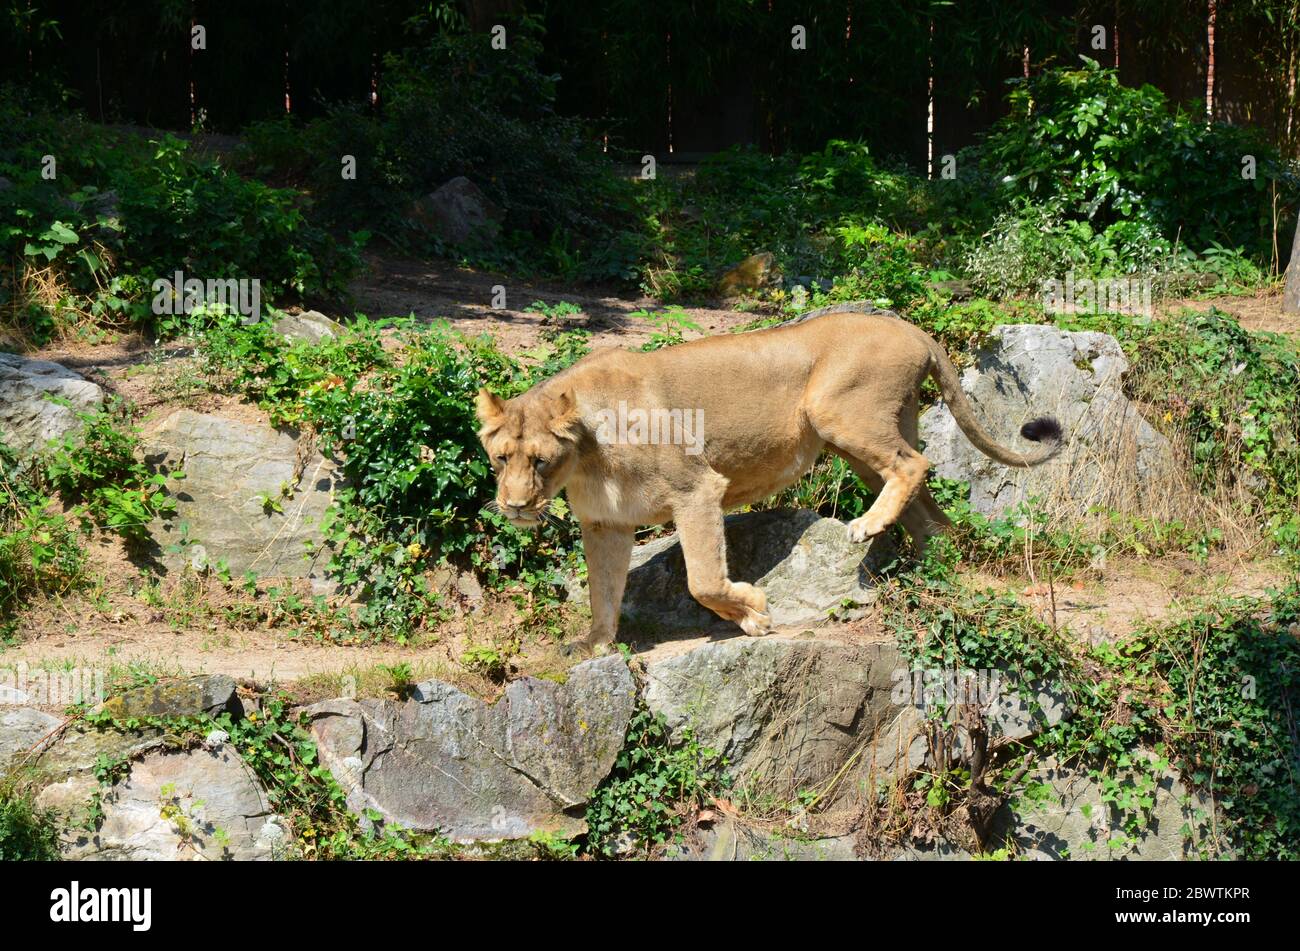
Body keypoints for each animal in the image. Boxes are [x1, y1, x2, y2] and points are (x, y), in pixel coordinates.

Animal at [476, 302, 1063, 653]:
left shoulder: (696, 490)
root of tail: (908, 326)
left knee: (915, 466)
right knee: (930, 510)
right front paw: (595, 645)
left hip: (839, 413)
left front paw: (754, 612)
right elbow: (603, 590)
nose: (513, 506)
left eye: (540, 461)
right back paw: (928, 574)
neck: (587, 456)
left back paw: (867, 528)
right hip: (867, 438)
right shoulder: (606, 524)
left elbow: (702, 579)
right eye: (501, 459)